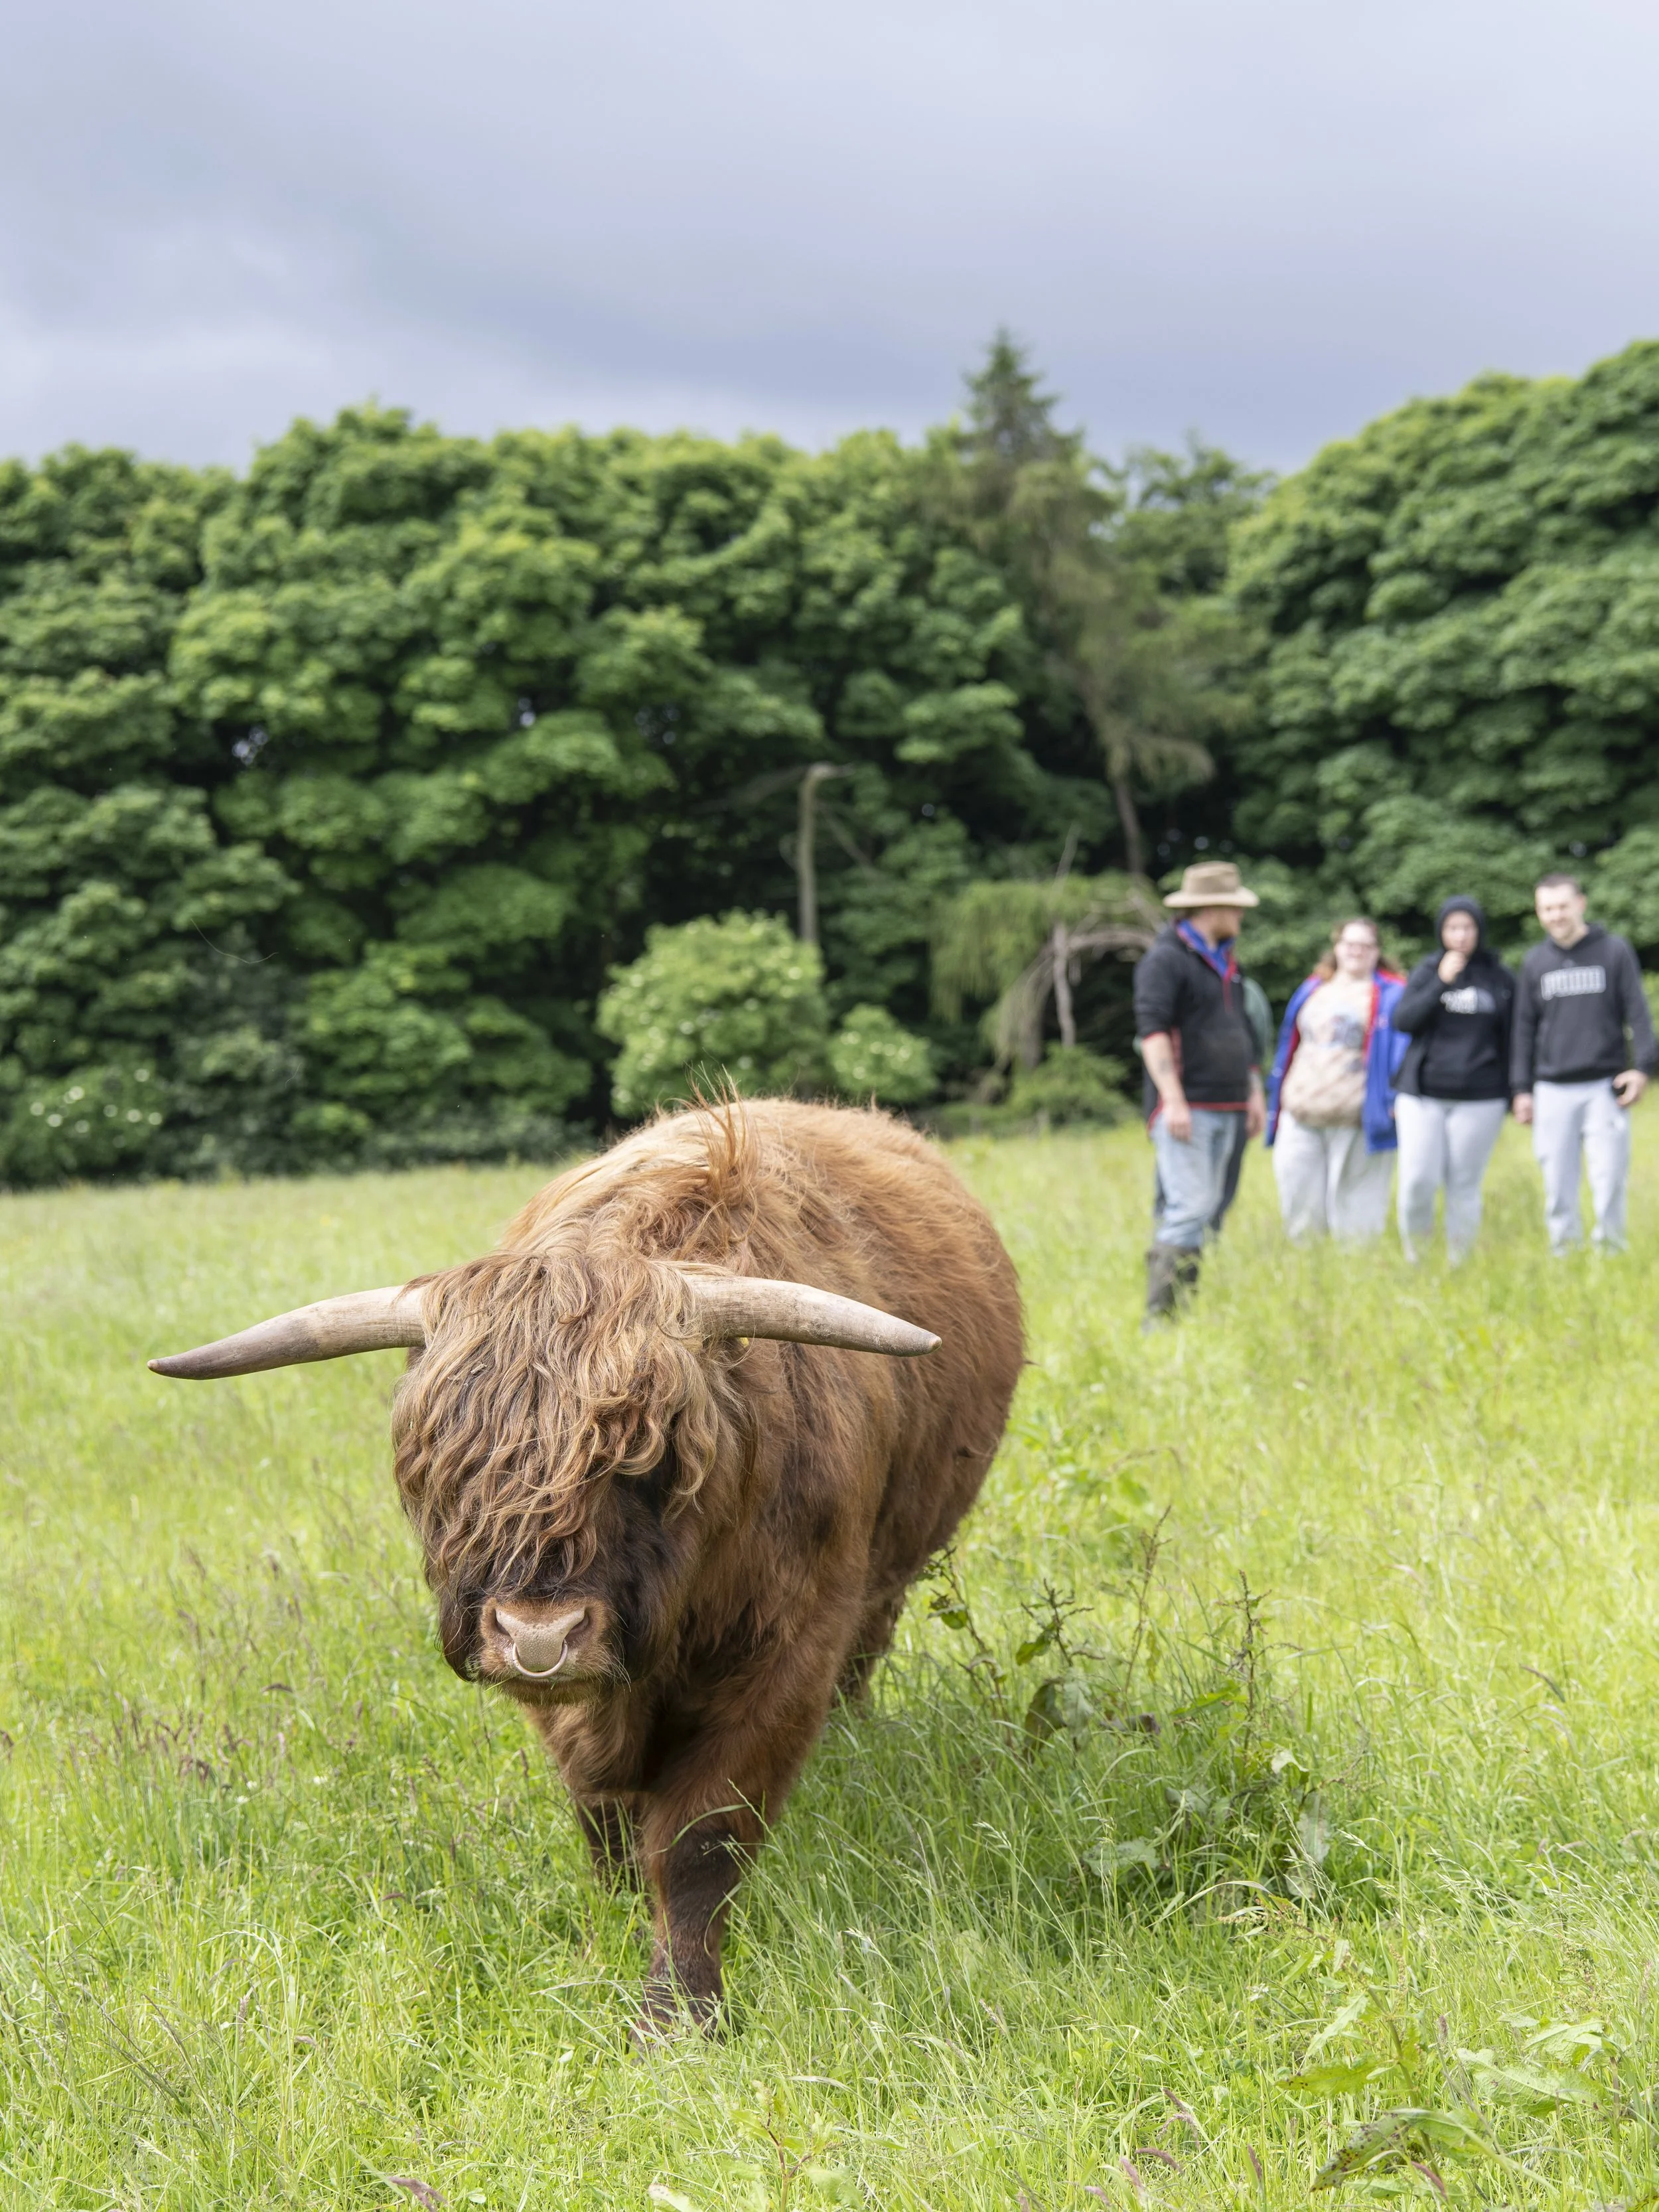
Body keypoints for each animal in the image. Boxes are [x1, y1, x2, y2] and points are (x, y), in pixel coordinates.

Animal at [150, 1099, 1024, 2032]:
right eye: (441, 1468)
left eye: (651, 1460)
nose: (540, 1635)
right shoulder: (575, 1706)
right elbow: (605, 1819)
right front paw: (615, 1920)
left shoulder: (788, 1651)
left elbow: (699, 1840)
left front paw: (677, 2013)